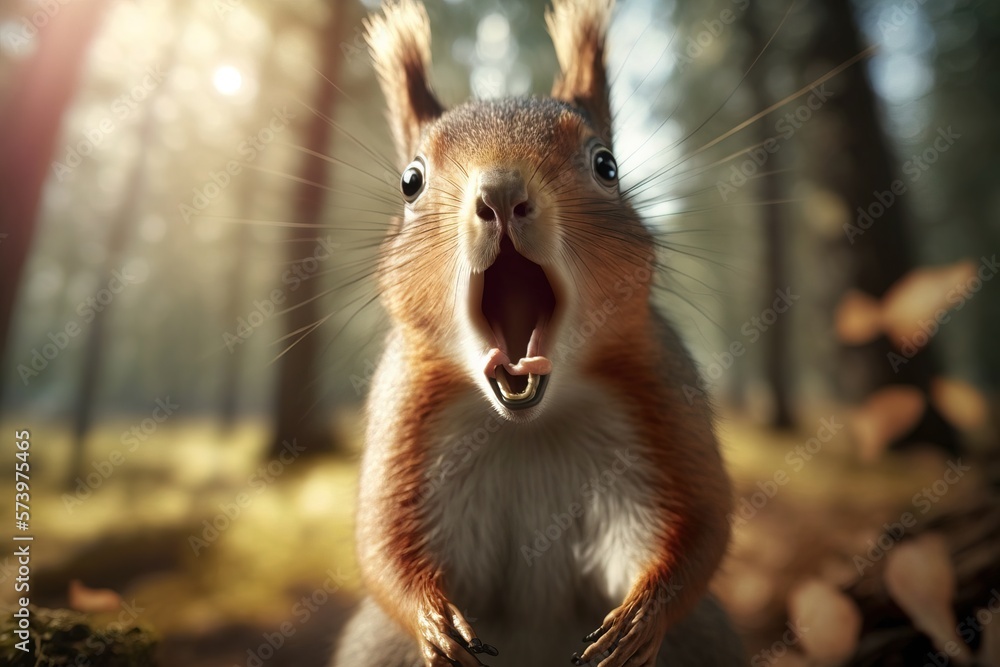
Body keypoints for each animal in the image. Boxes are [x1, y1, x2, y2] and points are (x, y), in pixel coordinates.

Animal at [332, 0, 743, 665]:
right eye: (410, 181)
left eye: (607, 165)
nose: (501, 192)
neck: (528, 423)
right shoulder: (404, 420)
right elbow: (381, 544)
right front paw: (432, 621)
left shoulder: (666, 396)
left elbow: (705, 523)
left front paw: (641, 619)